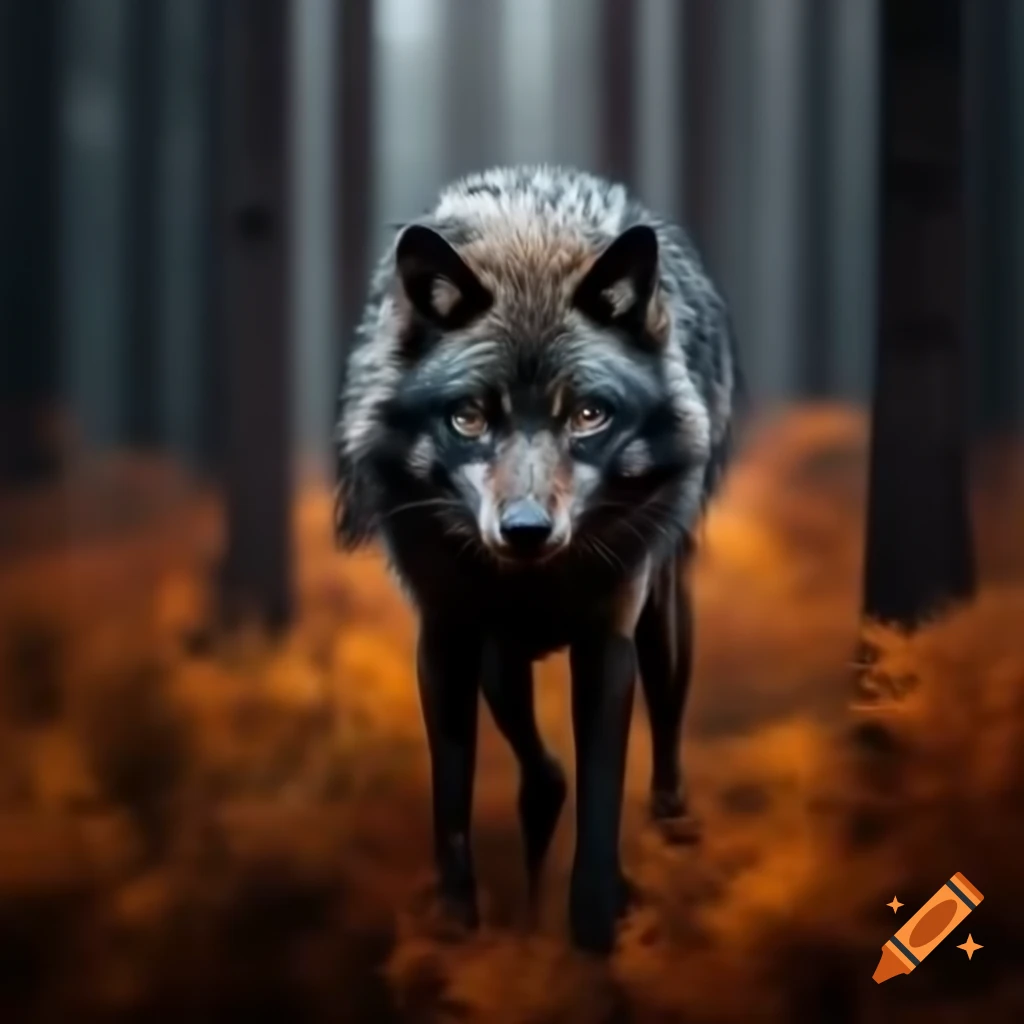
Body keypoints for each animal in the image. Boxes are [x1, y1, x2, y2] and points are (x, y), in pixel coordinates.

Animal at [334, 165, 739, 953]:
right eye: (468, 417)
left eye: (588, 415)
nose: (524, 529)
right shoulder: (447, 638)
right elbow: (452, 799)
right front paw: (455, 929)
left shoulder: (607, 639)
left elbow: (603, 791)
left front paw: (597, 928)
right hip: (497, 649)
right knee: (539, 765)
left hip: (662, 616)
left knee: (665, 726)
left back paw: (672, 834)